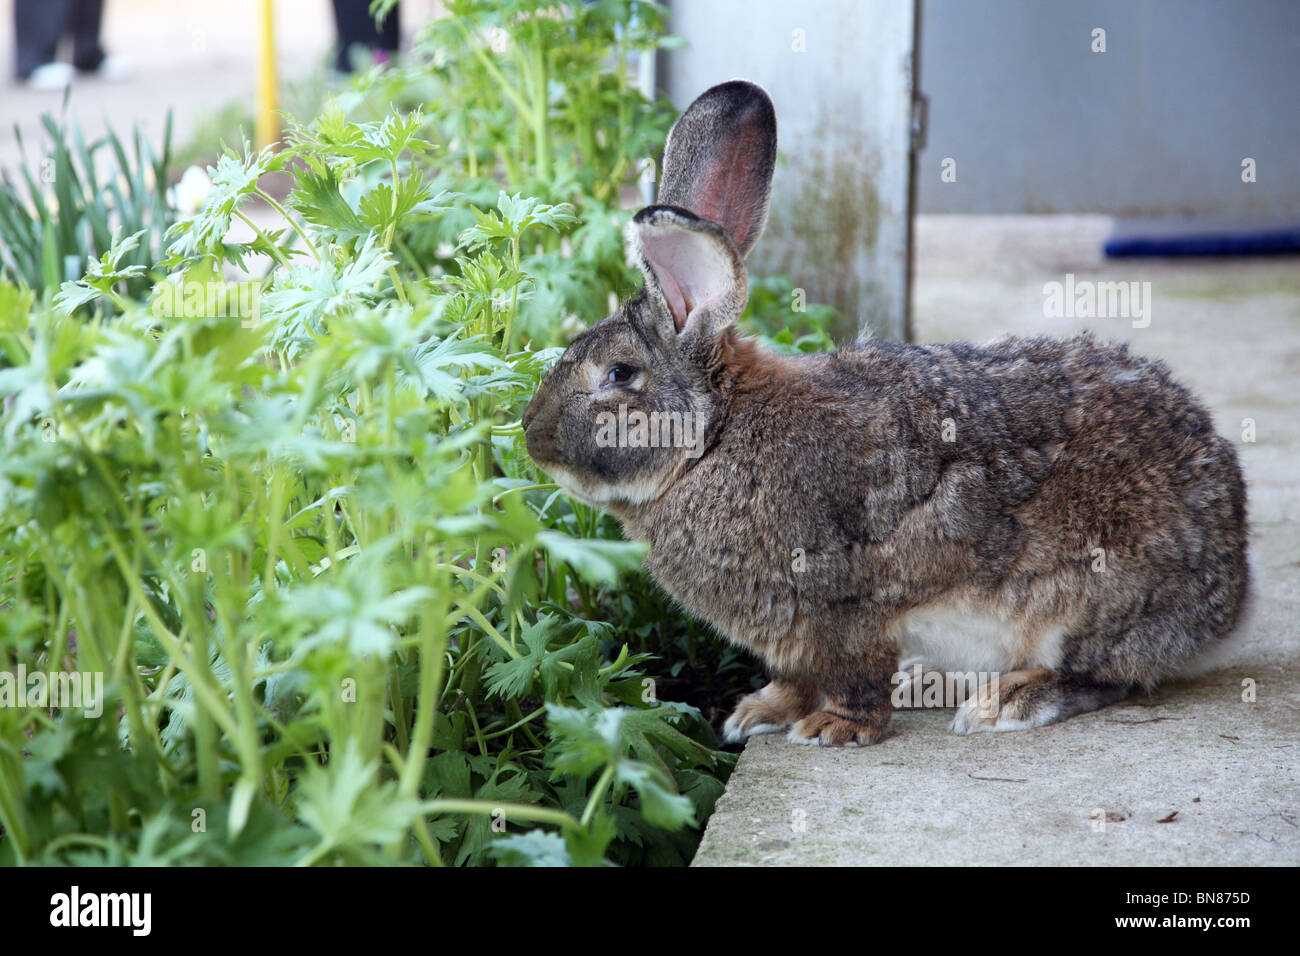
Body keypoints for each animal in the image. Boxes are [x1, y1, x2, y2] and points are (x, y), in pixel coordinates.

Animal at [521, 80, 1250, 746]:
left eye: (619, 375)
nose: (532, 438)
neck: (714, 441)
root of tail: (1230, 593)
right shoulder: (790, 633)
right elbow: (794, 677)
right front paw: (758, 713)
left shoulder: (845, 604)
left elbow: (854, 673)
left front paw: (833, 730)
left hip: (1086, 596)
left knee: (1106, 675)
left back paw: (1006, 703)